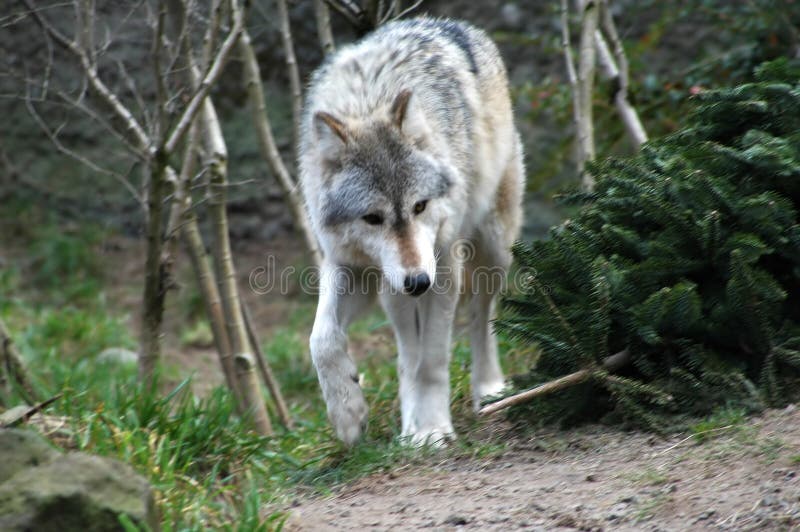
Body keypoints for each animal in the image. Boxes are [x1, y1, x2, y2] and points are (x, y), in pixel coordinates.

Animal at [299, 17, 524, 446]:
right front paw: (348, 413)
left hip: (493, 248)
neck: (368, 98)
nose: (418, 281)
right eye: (373, 218)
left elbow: (432, 359)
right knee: (406, 352)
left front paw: (433, 427)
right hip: (394, 290)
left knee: (481, 316)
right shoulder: (349, 266)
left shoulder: (443, 266)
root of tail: (456, 25)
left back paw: (488, 389)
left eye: (420, 206)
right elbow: (321, 339)